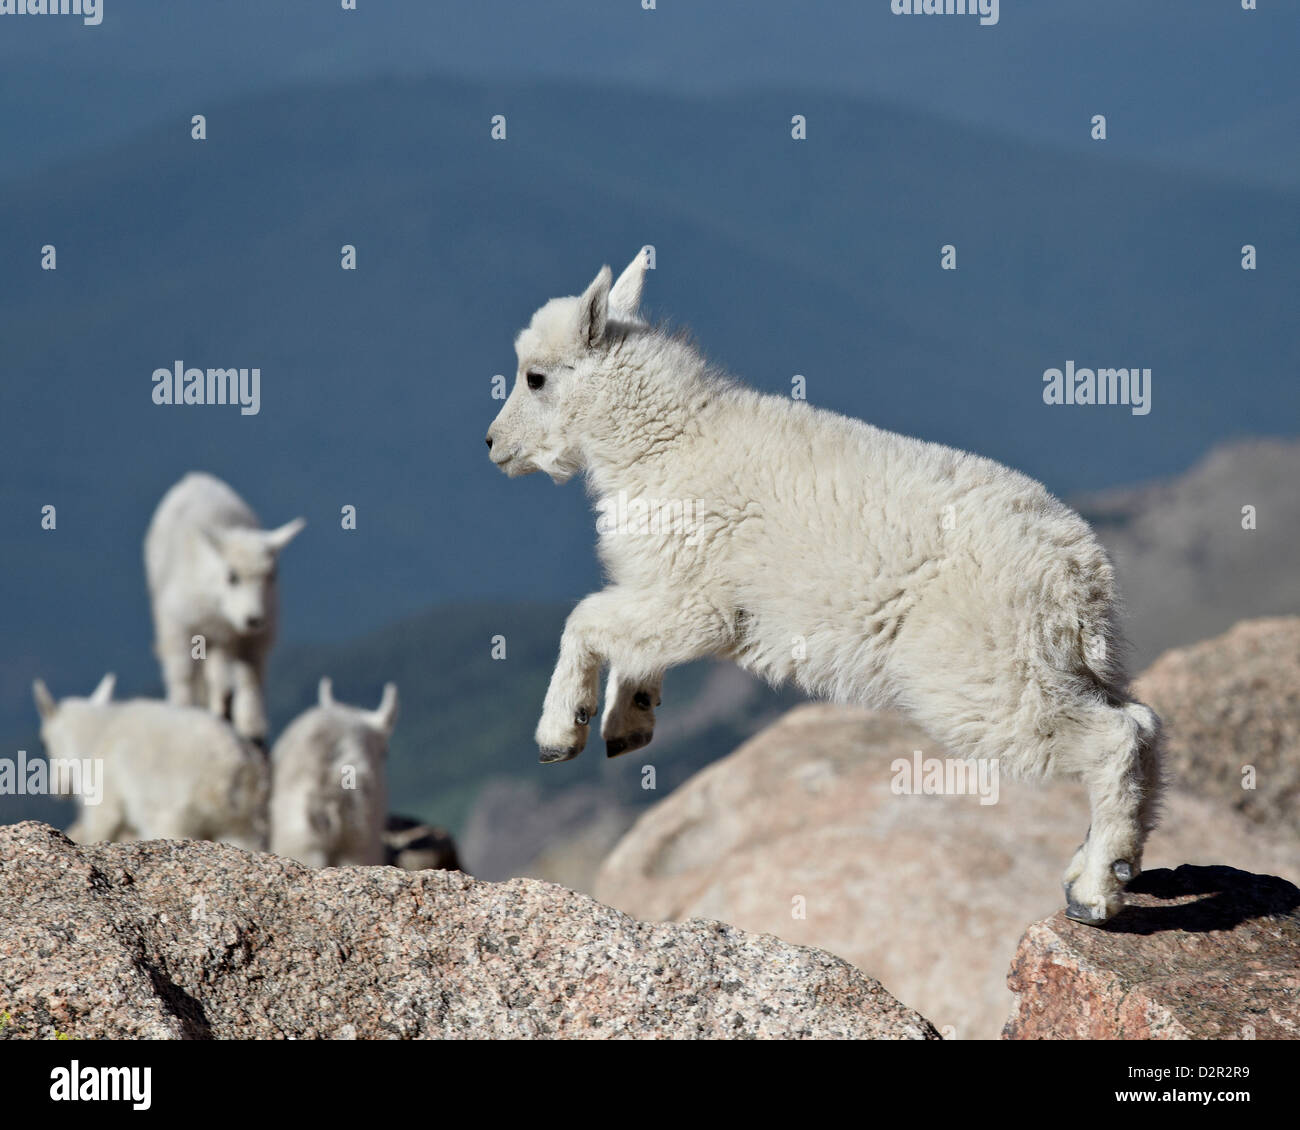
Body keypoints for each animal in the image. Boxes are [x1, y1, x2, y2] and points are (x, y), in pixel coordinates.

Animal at [31, 674, 269, 850]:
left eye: (43, 743)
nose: (59, 789)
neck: (94, 736)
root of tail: (234, 767)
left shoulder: (105, 801)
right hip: (244, 825)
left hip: (173, 819)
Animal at [144, 471, 304, 748]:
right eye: (232, 576)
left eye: (272, 575)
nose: (253, 619)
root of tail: (194, 478)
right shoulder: (180, 626)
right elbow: (183, 674)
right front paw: (181, 712)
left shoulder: (253, 639)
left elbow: (250, 675)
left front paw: (253, 728)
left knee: (220, 676)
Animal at [484, 249, 1165, 925]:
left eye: (535, 377)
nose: (492, 445)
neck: (661, 443)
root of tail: (1079, 580)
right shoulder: (666, 591)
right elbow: (631, 643)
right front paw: (629, 723)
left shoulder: (699, 602)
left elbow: (585, 619)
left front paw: (561, 732)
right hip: (1054, 665)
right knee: (1144, 721)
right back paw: (1096, 870)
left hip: (982, 673)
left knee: (1114, 737)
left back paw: (1095, 891)